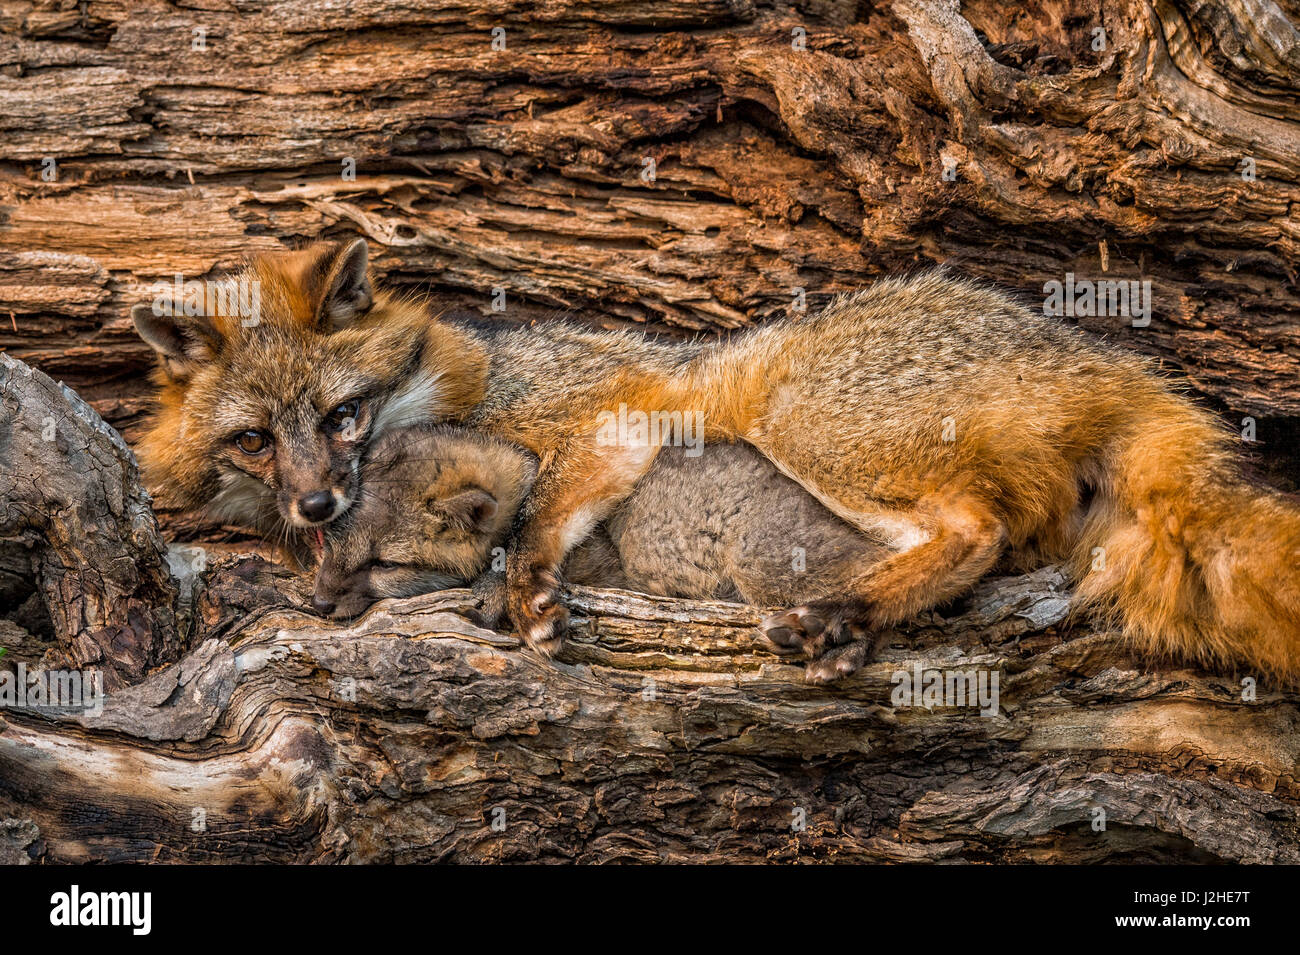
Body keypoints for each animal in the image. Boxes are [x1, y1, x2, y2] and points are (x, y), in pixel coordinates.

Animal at [311, 426, 896, 682]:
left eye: (384, 564)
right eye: (326, 542)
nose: (315, 604)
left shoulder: (601, 565)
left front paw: (497, 594)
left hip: (759, 562)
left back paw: (839, 651)